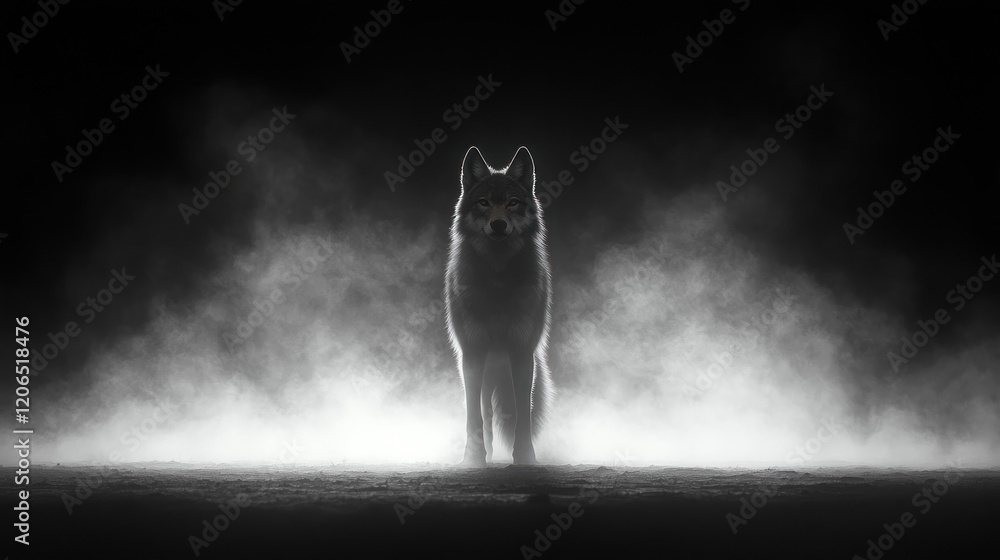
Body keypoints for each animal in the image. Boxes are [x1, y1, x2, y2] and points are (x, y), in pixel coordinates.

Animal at [445, 146, 553, 465]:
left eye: (512, 203)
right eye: (484, 203)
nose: (498, 224)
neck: (497, 279)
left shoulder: (522, 352)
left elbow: (522, 414)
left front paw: (525, 457)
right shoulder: (471, 352)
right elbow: (474, 417)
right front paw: (472, 459)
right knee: (484, 412)